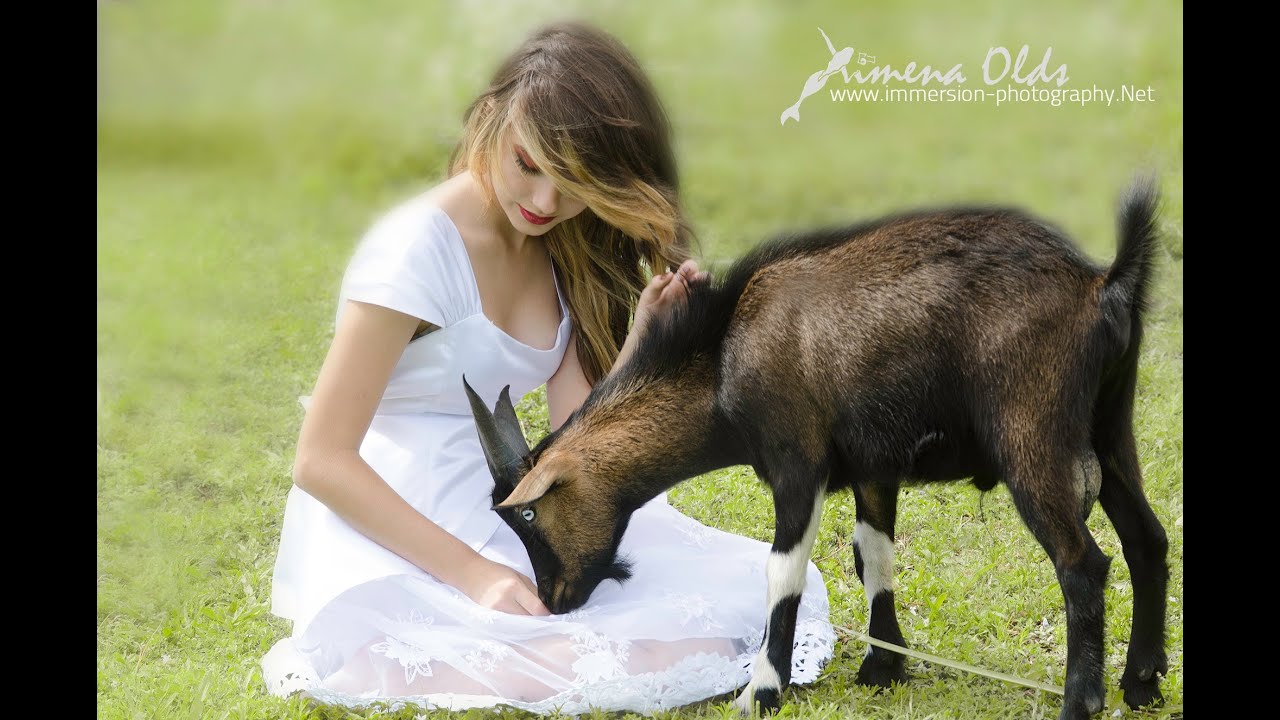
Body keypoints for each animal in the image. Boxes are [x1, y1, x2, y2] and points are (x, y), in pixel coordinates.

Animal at [464, 179, 1168, 720]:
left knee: (1083, 563)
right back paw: (1142, 683)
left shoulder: (796, 462)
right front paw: (883, 668)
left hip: (1032, 433)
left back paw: (1081, 701)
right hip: (1111, 430)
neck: (722, 357)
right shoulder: (873, 467)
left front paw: (760, 691)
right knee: (1148, 539)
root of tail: (1103, 285)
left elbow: (784, 572)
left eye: (527, 511)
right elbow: (874, 556)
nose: (554, 599)